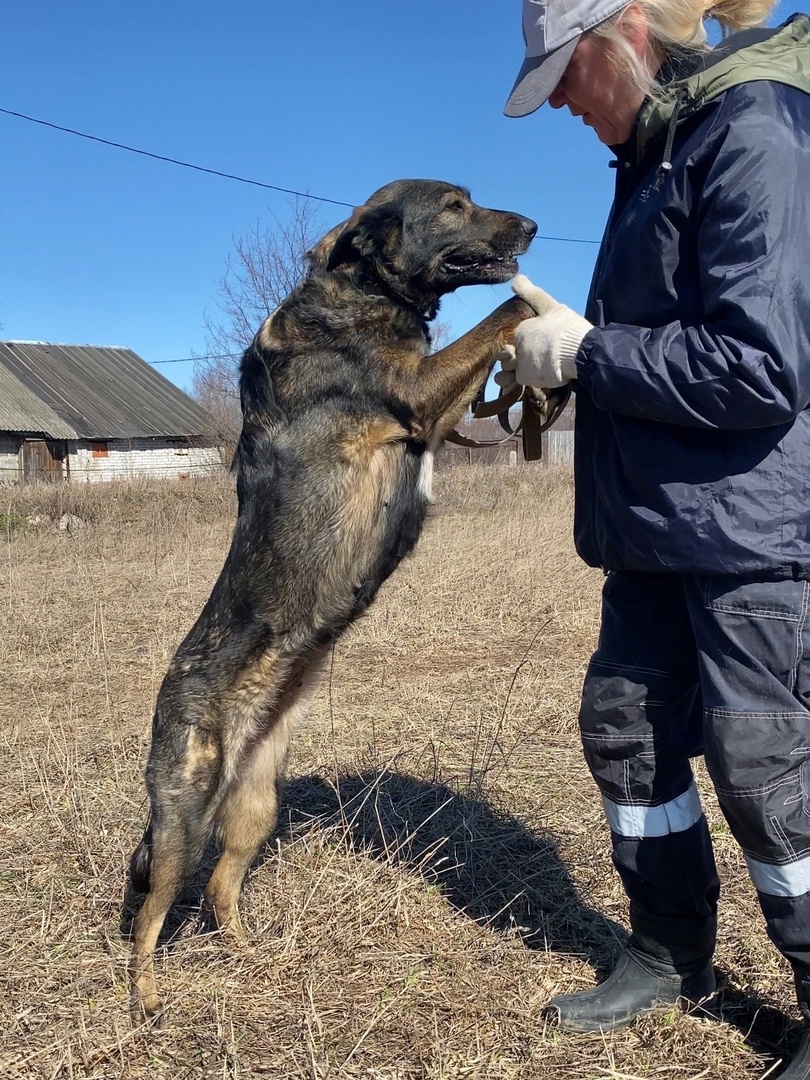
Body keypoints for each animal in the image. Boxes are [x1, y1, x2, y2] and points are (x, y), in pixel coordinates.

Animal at [128, 177, 546, 1019]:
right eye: (454, 205)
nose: (533, 226)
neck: (359, 293)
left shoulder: (430, 411)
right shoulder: (415, 392)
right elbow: (504, 312)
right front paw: (548, 304)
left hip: (255, 809)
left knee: (220, 892)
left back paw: (252, 955)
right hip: (185, 813)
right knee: (153, 915)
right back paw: (147, 999)